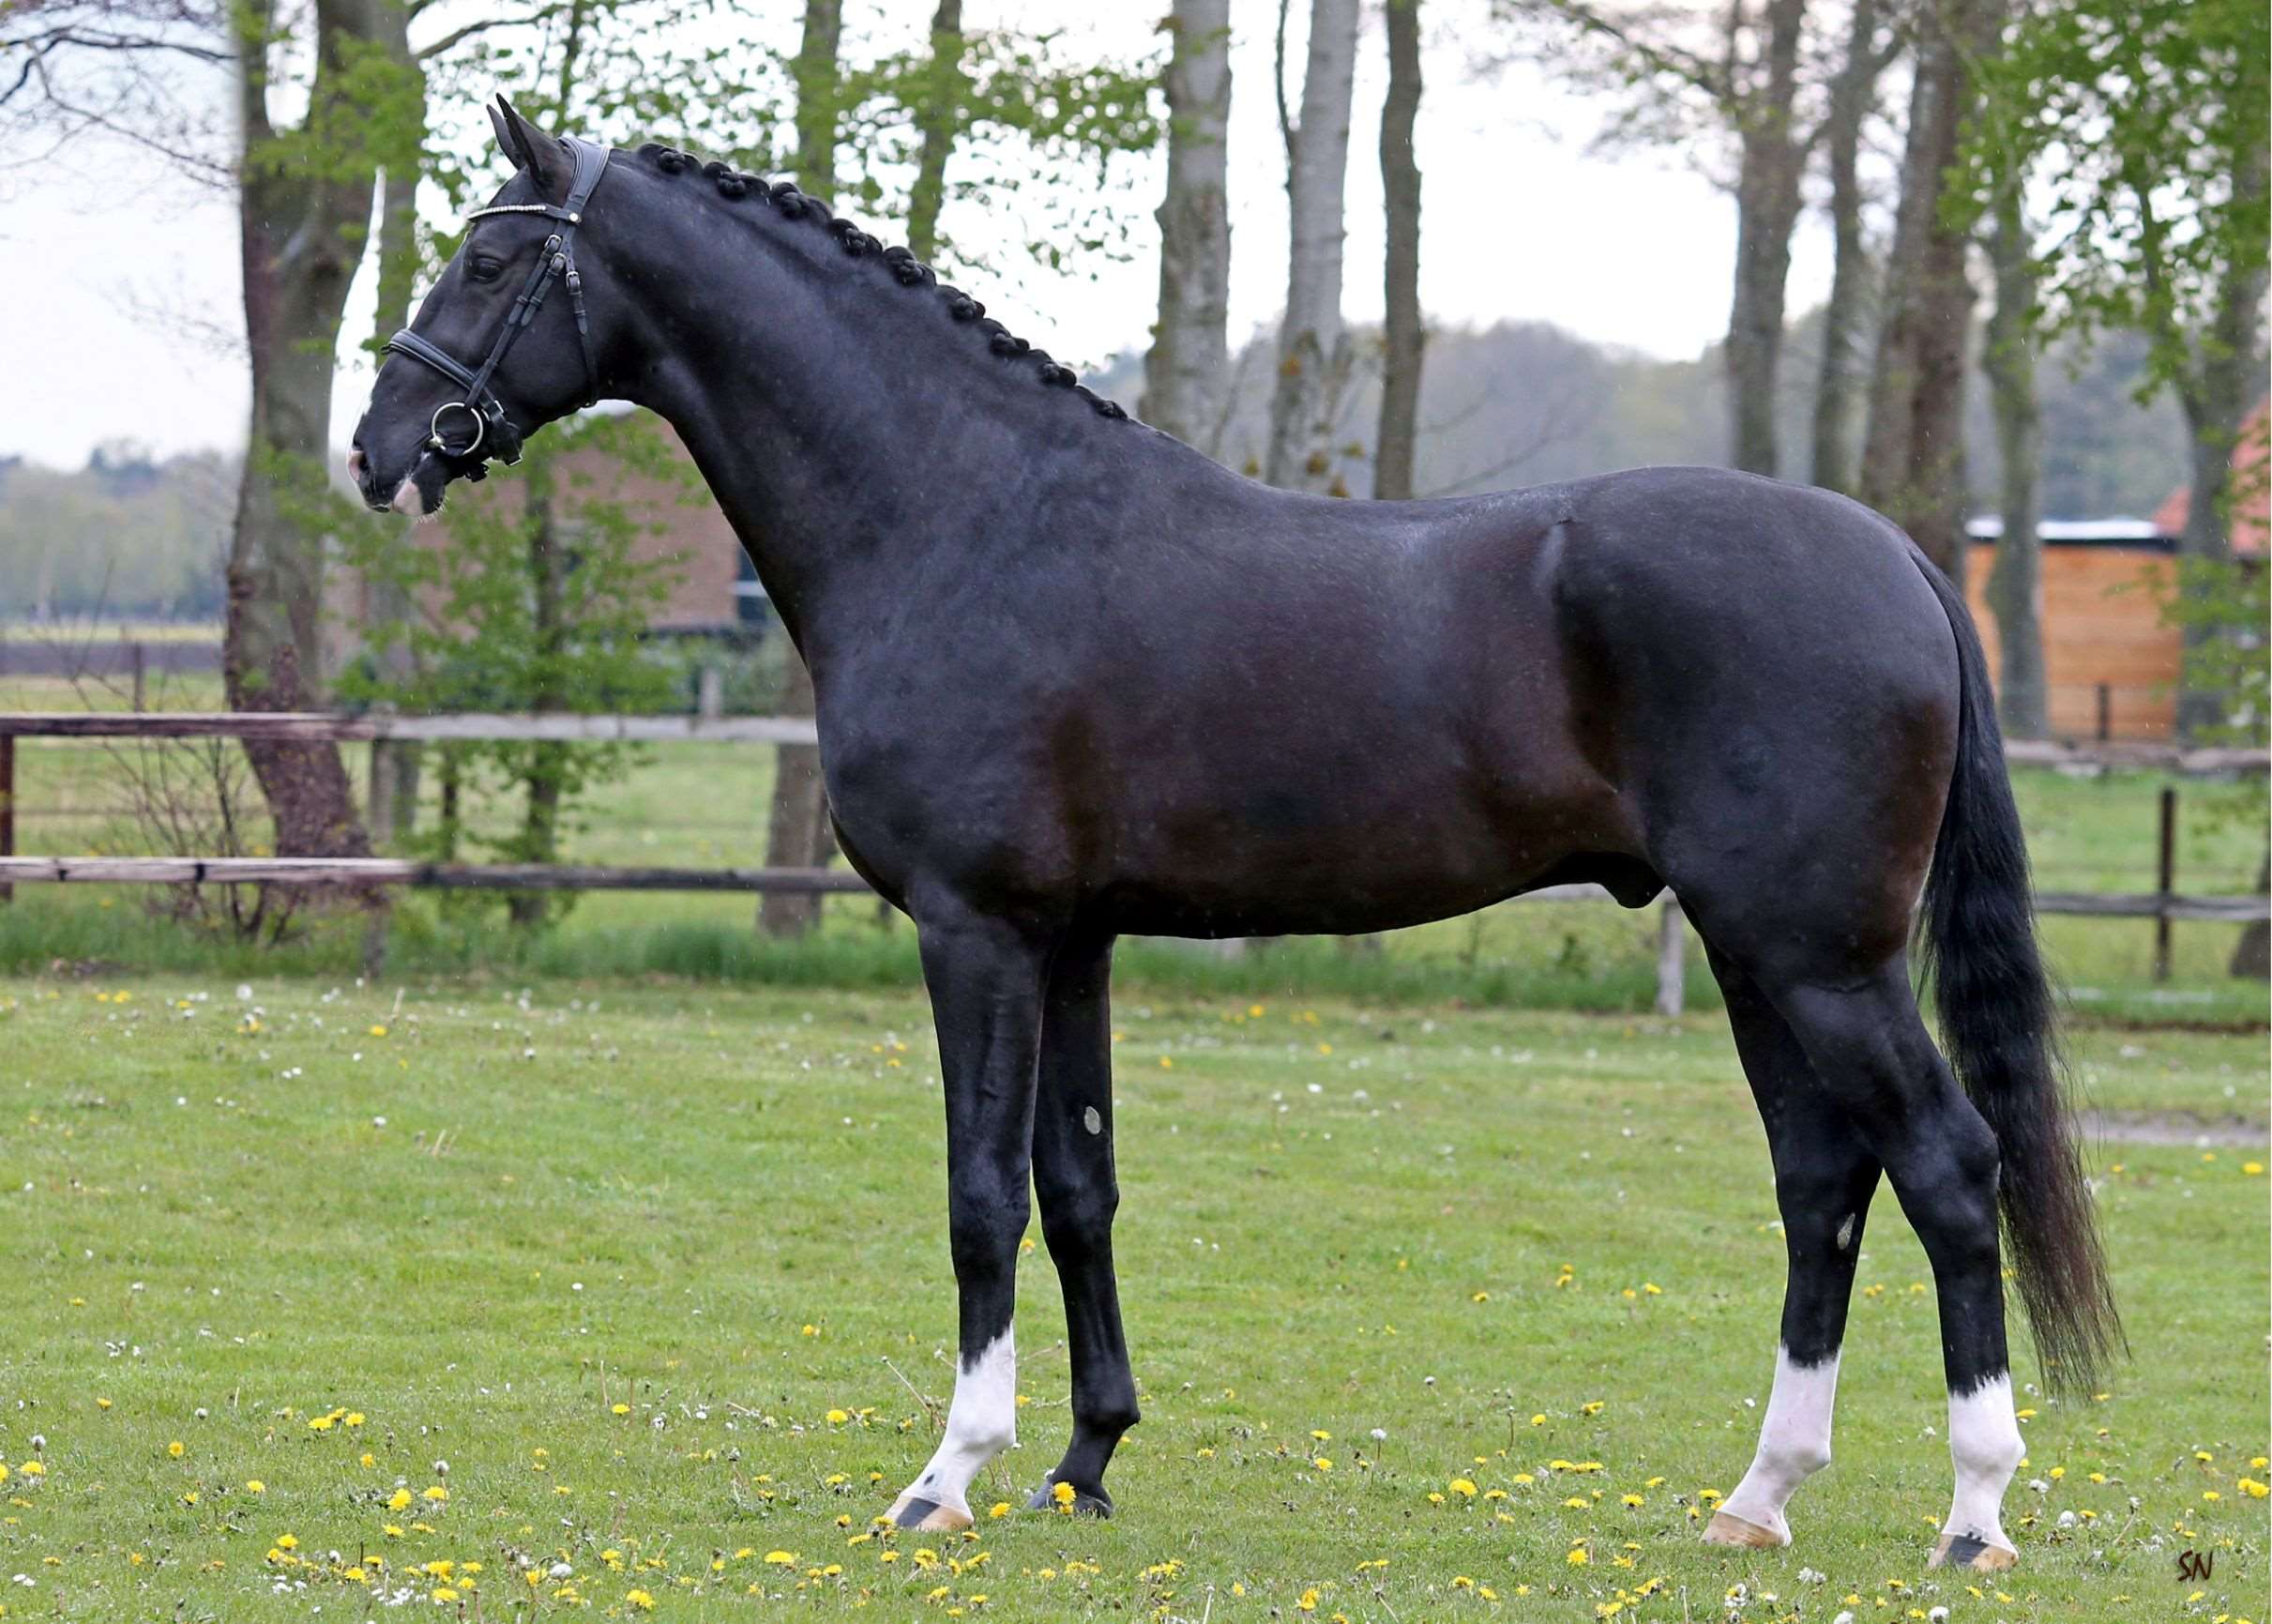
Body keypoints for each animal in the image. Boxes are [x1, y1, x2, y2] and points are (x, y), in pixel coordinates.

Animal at [350, 99, 2119, 1571]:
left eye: (490, 256)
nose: (376, 450)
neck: (964, 516)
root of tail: (1897, 558)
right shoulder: (1069, 938)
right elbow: (1075, 1185)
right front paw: (1081, 1460)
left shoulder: (976, 929)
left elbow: (979, 1191)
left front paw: (946, 1474)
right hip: (1765, 957)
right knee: (1824, 1180)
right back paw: (1756, 1496)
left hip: (1819, 956)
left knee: (1945, 1165)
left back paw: (1973, 1512)